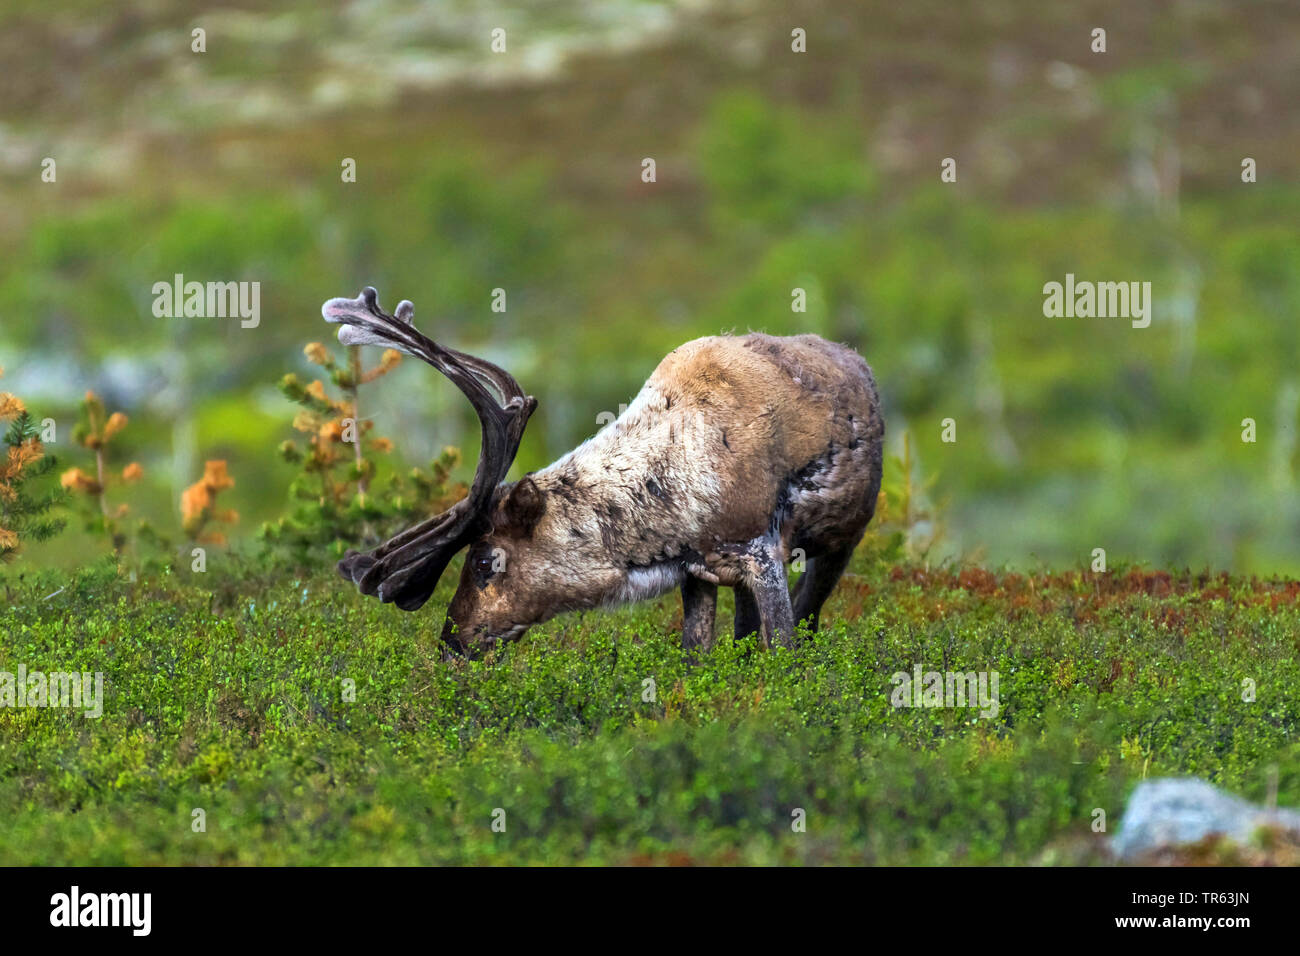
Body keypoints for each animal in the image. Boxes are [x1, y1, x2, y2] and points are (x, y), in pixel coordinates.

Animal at [323, 287, 884, 658]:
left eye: (484, 561)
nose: (451, 641)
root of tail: (859, 364)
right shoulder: (697, 571)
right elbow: (696, 655)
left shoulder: (763, 552)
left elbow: (784, 649)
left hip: (842, 537)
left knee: (812, 612)